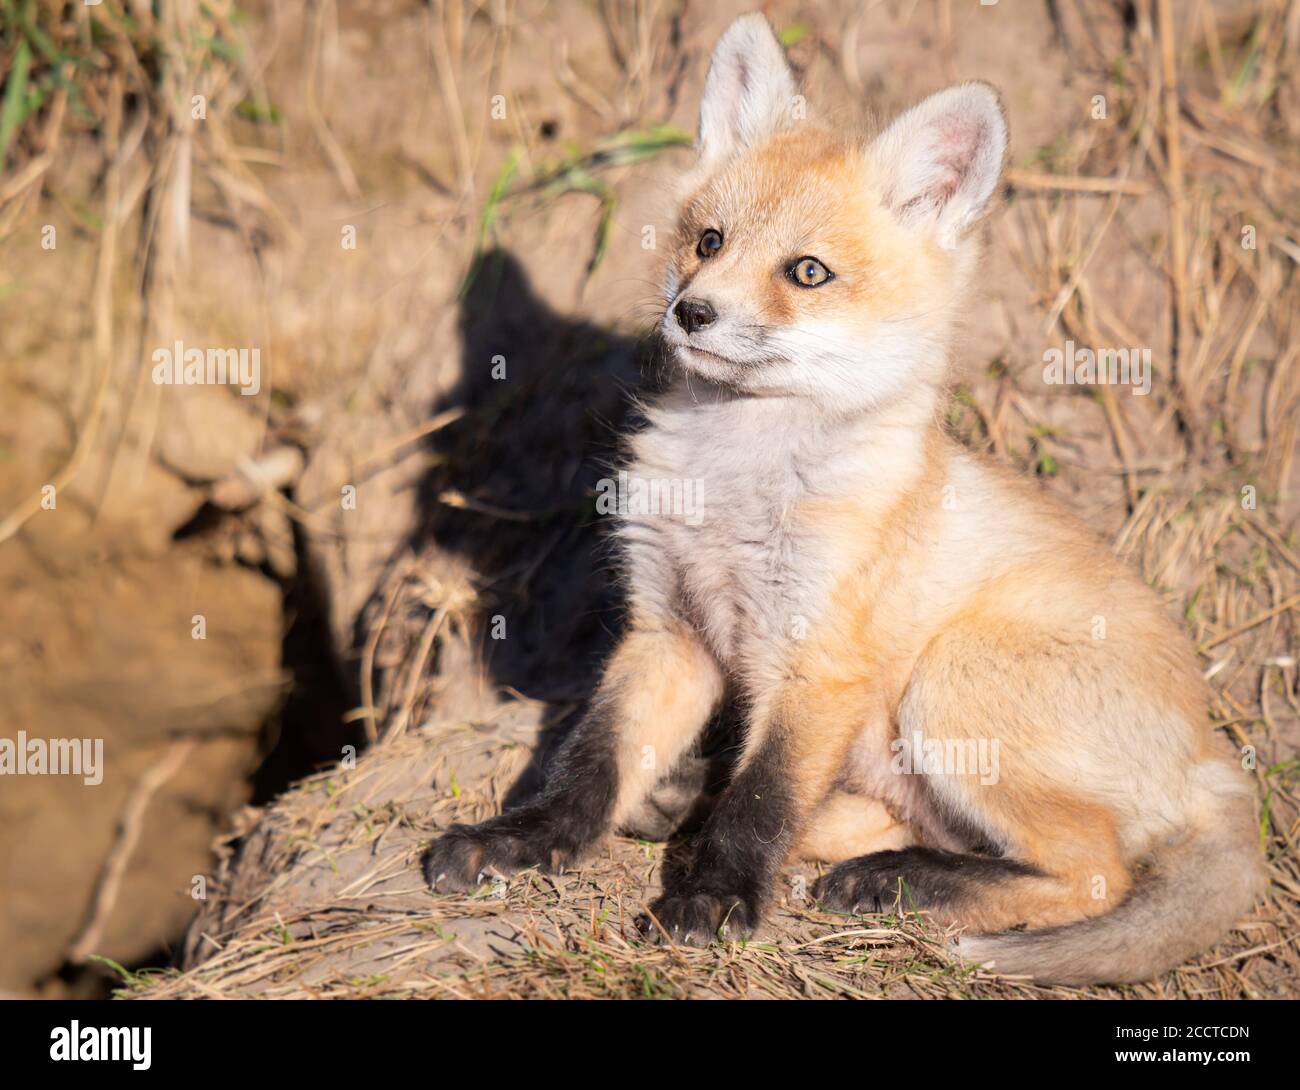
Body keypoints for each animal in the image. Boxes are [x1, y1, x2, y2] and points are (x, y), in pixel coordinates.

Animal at [424, 13, 1263, 985]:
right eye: (709, 241)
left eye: (808, 273)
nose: (691, 312)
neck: (737, 482)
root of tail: (1214, 750)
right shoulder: (668, 630)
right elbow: (591, 763)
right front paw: (520, 841)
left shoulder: (818, 662)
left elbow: (762, 800)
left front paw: (714, 901)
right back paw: (739, 820)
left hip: (950, 683)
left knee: (1095, 874)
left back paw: (903, 883)